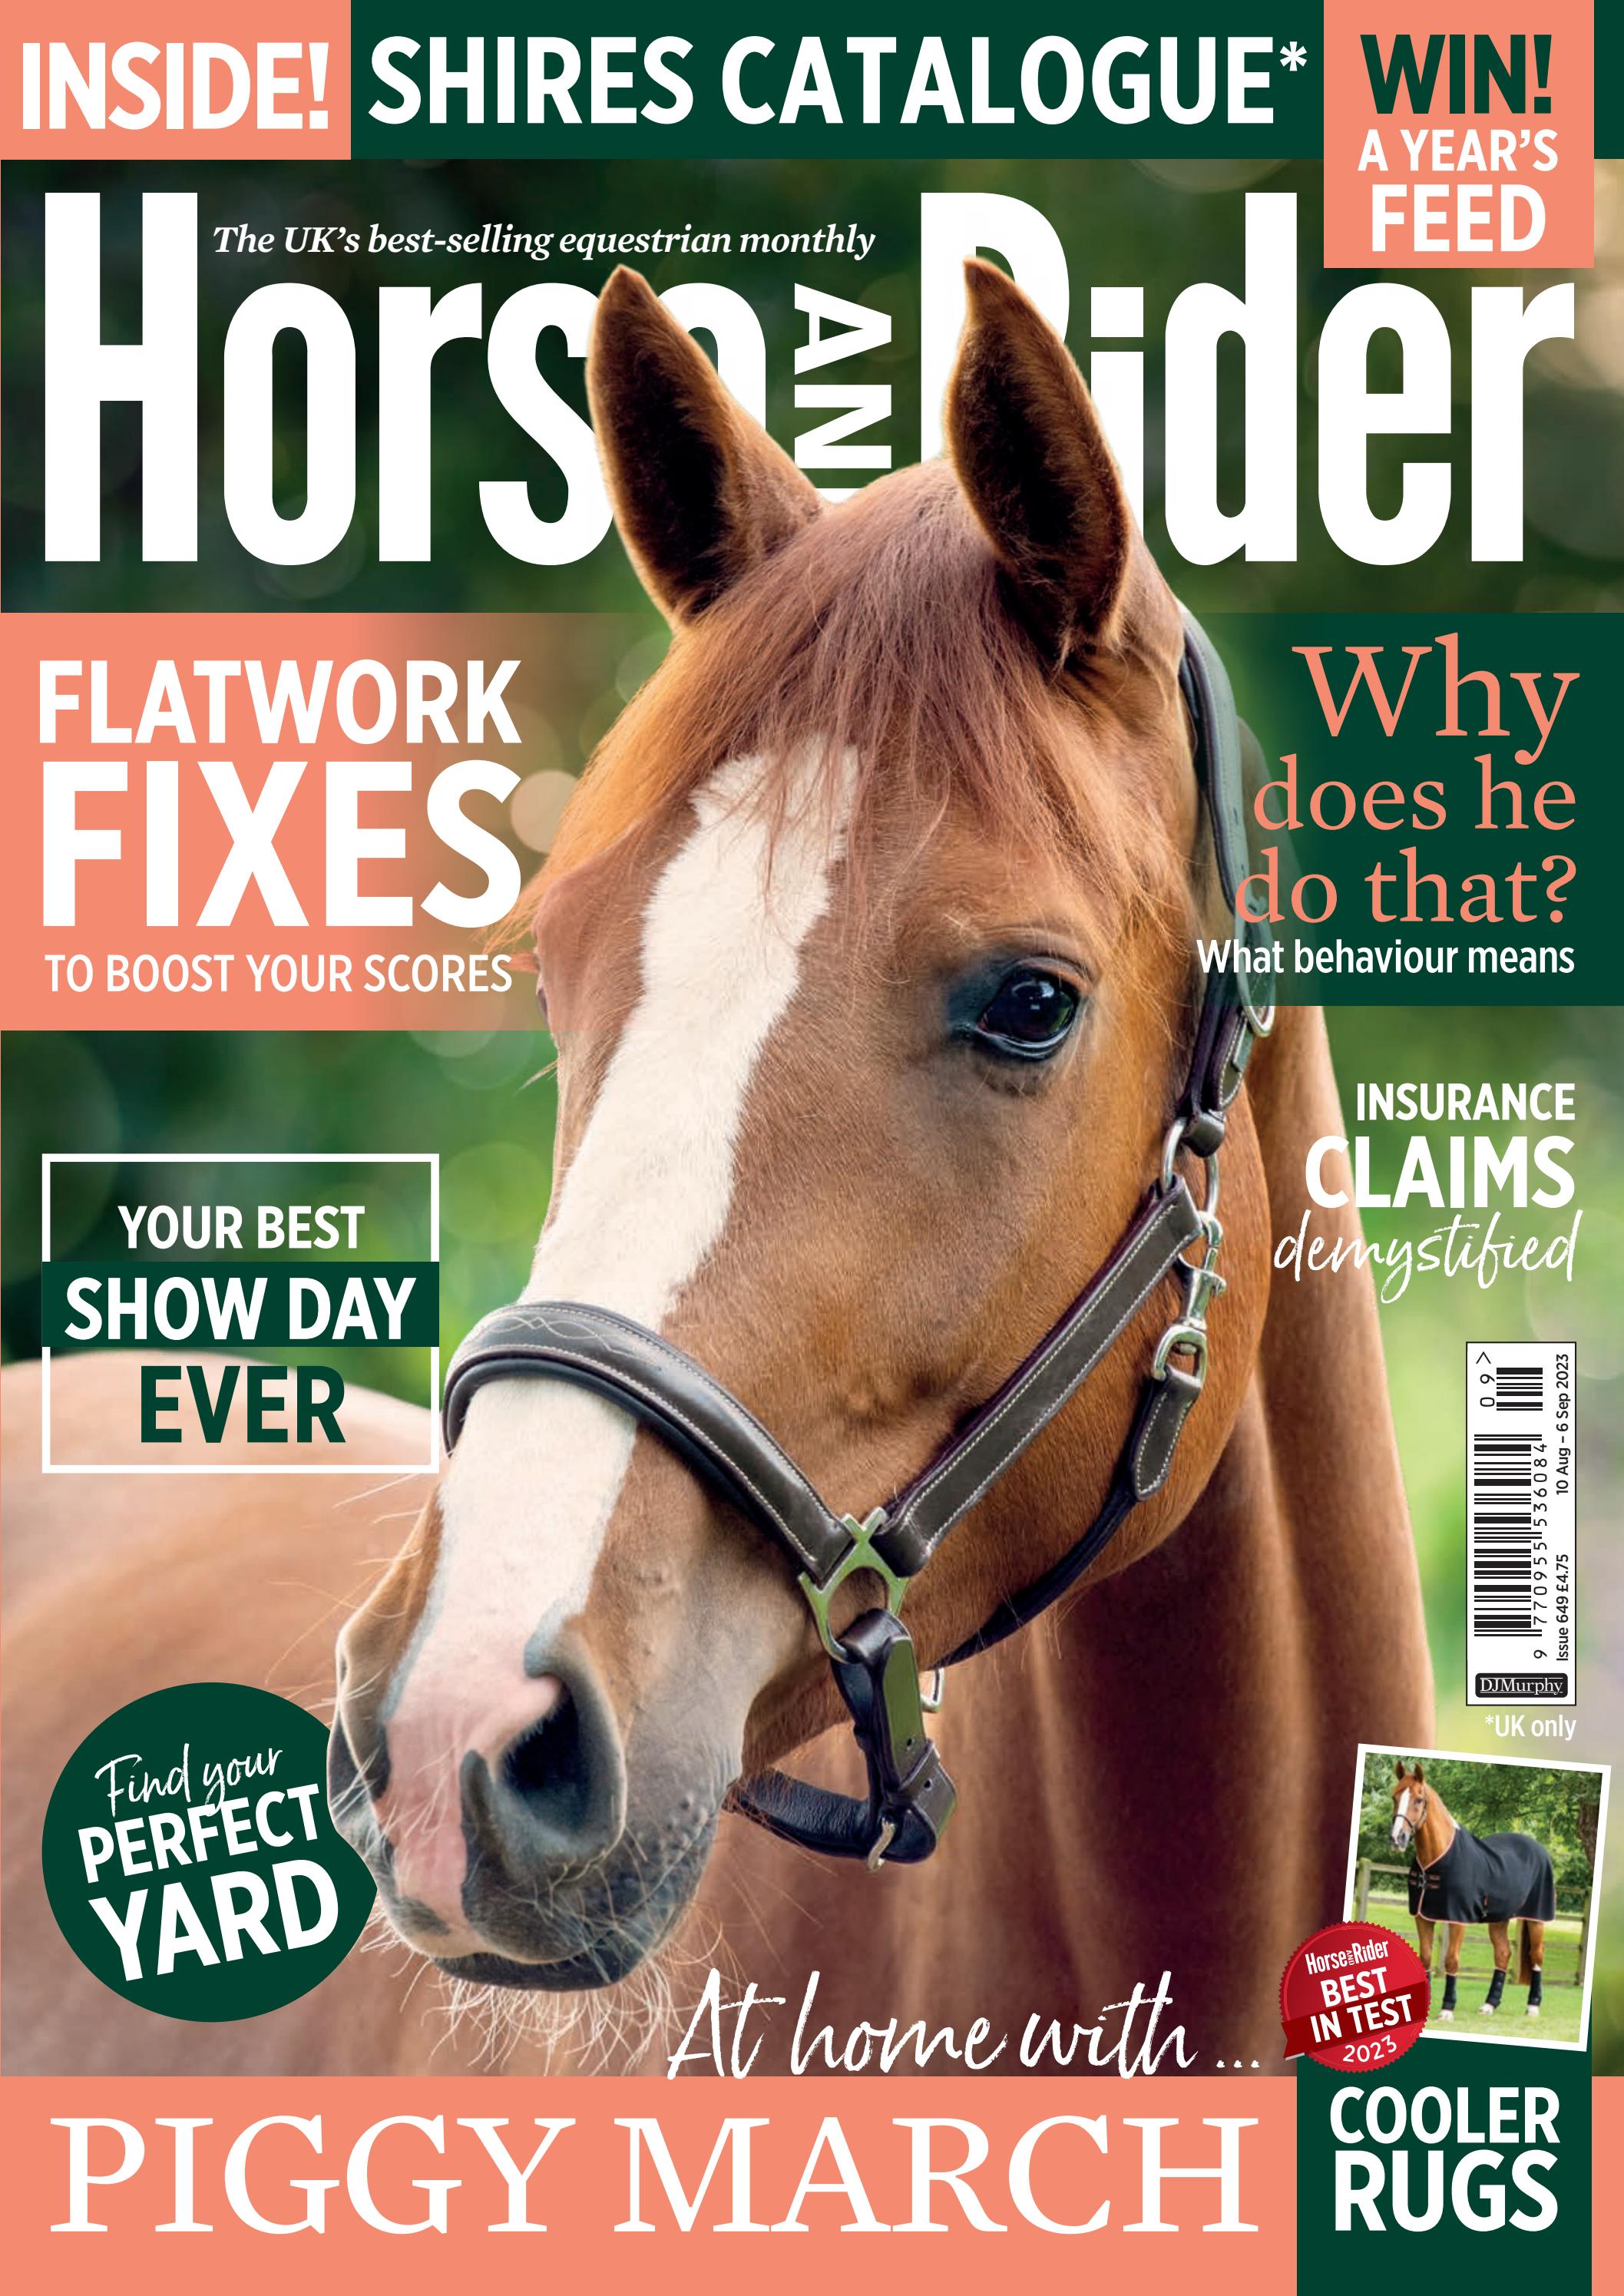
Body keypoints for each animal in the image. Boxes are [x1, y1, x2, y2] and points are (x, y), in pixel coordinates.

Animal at [1390, 1761, 1553, 2019]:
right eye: (1395, 1797)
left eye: (1418, 1800)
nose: (1398, 1839)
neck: (1436, 1858)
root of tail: (1538, 1848)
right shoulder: (1422, 1917)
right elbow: (1426, 1958)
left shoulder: (1458, 1919)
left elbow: (1451, 1961)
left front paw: (1447, 2009)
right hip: (1498, 1920)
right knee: (1503, 1954)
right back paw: (1489, 2005)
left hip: (1536, 1919)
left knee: (1536, 1956)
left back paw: (1533, 2006)